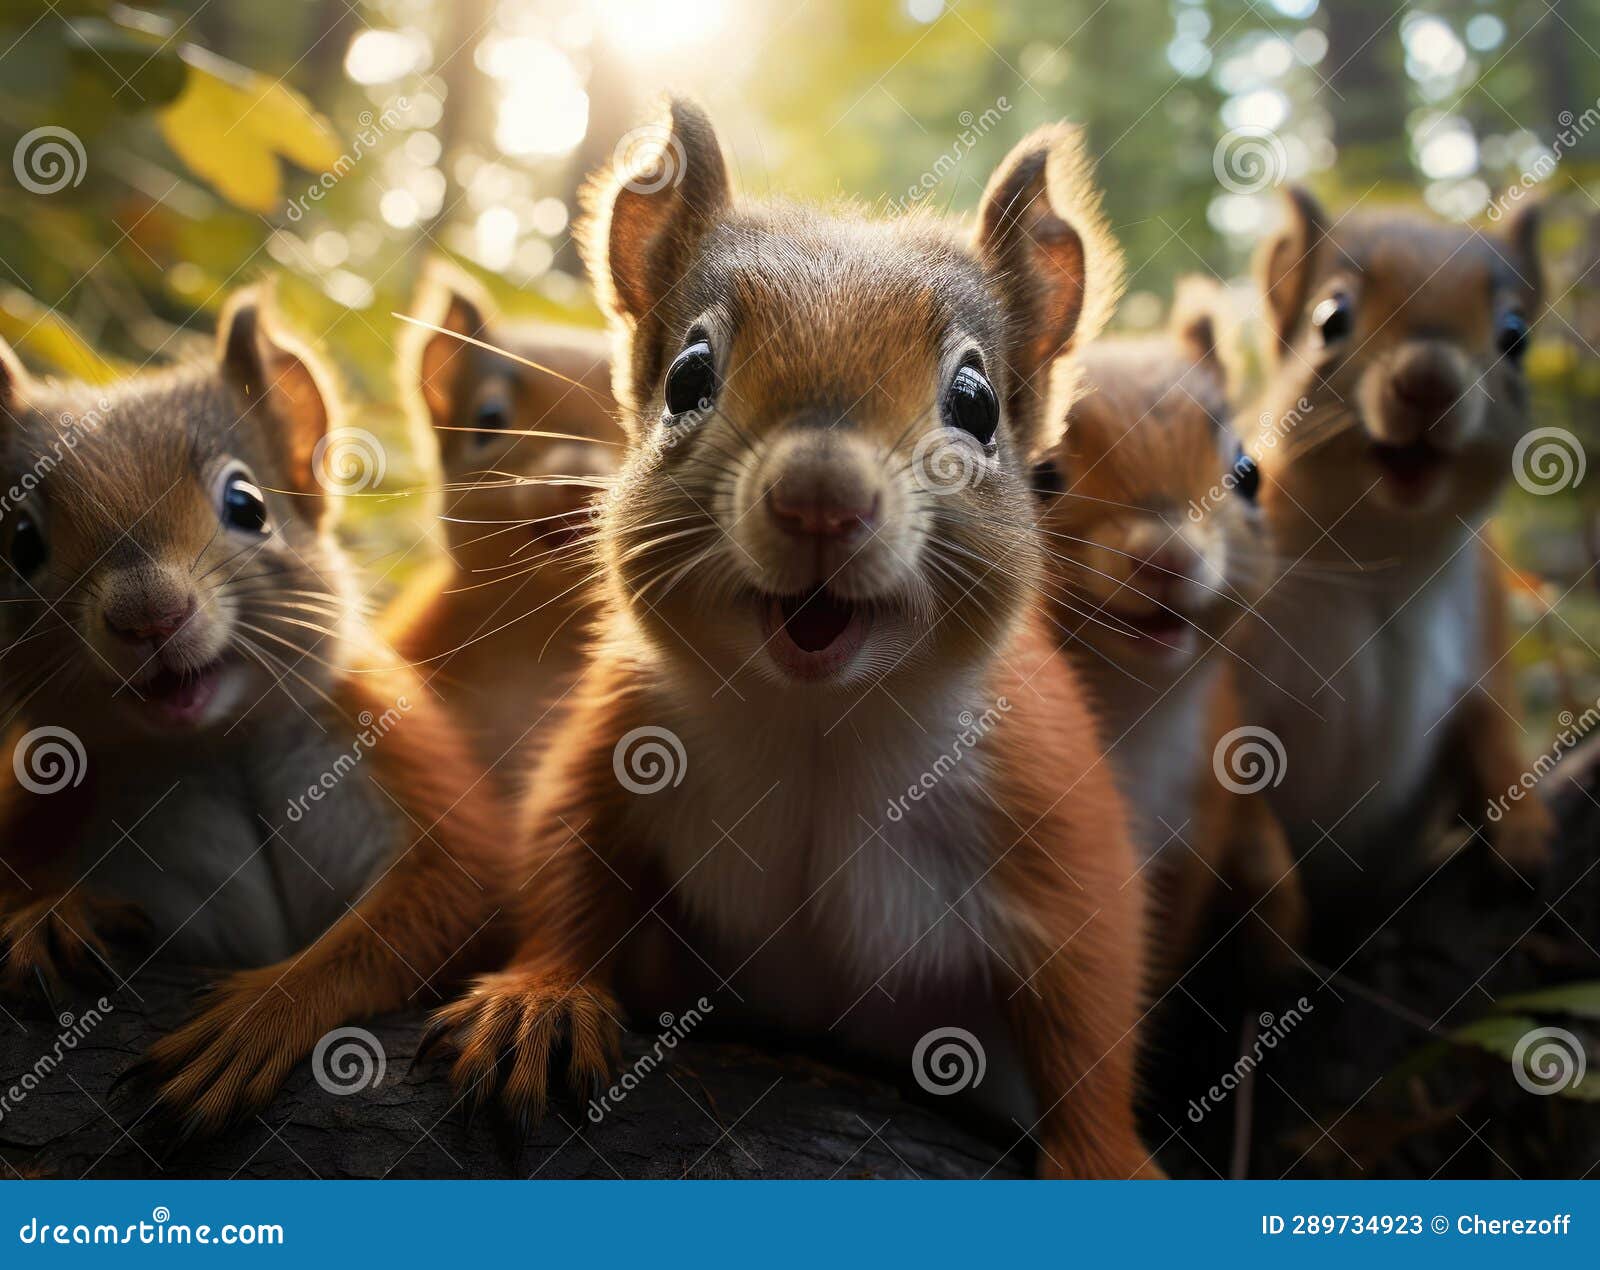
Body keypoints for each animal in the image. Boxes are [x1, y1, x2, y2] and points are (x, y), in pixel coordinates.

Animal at [0, 290, 508, 1136]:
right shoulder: (51, 794)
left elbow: (446, 892)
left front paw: (259, 1015)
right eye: (20, 542)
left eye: (247, 504)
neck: (215, 744)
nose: (149, 615)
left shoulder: (397, 758)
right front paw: (44, 916)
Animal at [421, 99, 1162, 1179]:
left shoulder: (1046, 800)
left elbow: (1088, 995)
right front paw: (541, 1002)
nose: (819, 497)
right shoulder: (619, 743)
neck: (816, 723)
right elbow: (565, 863)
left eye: (977, 404)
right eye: (688, 377)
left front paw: (1103, 1152)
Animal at [1240, 186, 1550, 903]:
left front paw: (1524, 826)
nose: (1429, 382)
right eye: (1330, 318)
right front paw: (1270, 885)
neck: (1378, 554)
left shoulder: (1485, 609)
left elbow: (1490, 721)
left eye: (1516, 336)